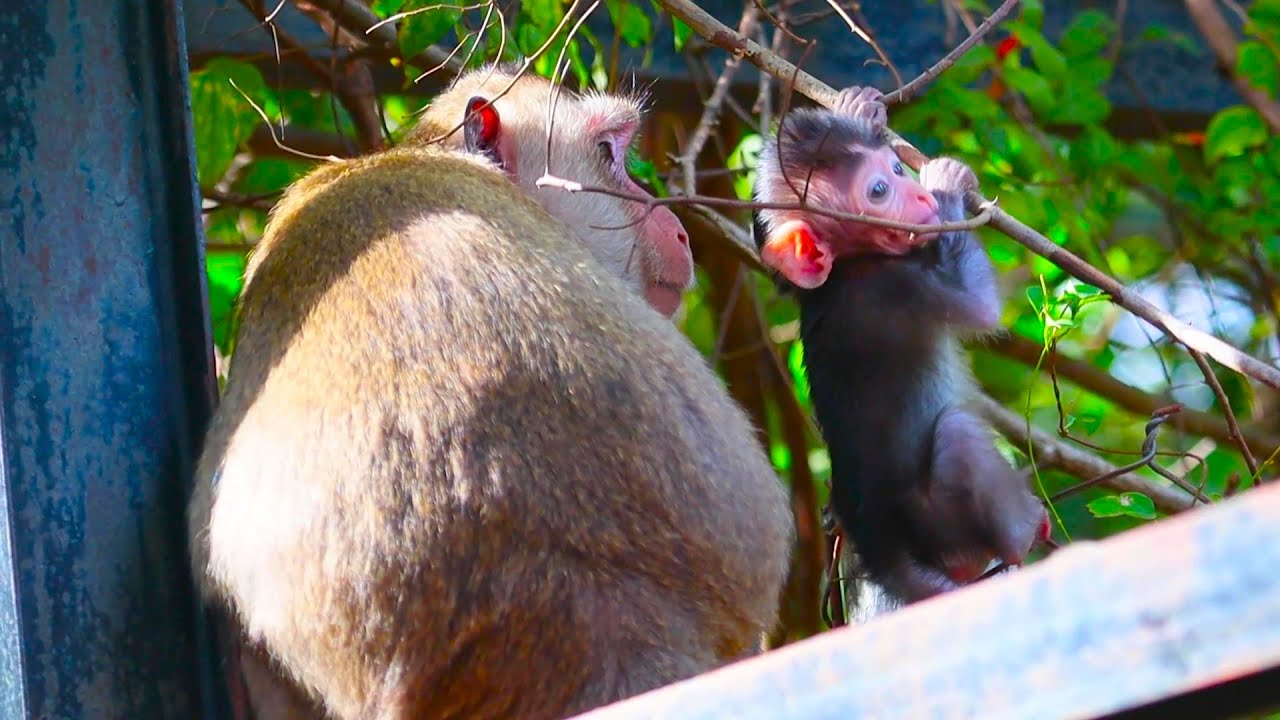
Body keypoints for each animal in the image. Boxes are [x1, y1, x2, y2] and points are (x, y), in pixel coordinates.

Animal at [752, 85, 1048, 607]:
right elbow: (980, 309)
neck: (849, 268)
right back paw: (1025, 530)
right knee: (958, 437)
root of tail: (886, 554)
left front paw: (853, 108)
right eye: (878, 191)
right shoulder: (899, 285)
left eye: (893, 167)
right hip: (946, 528)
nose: (919, 194)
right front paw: (948, 186)